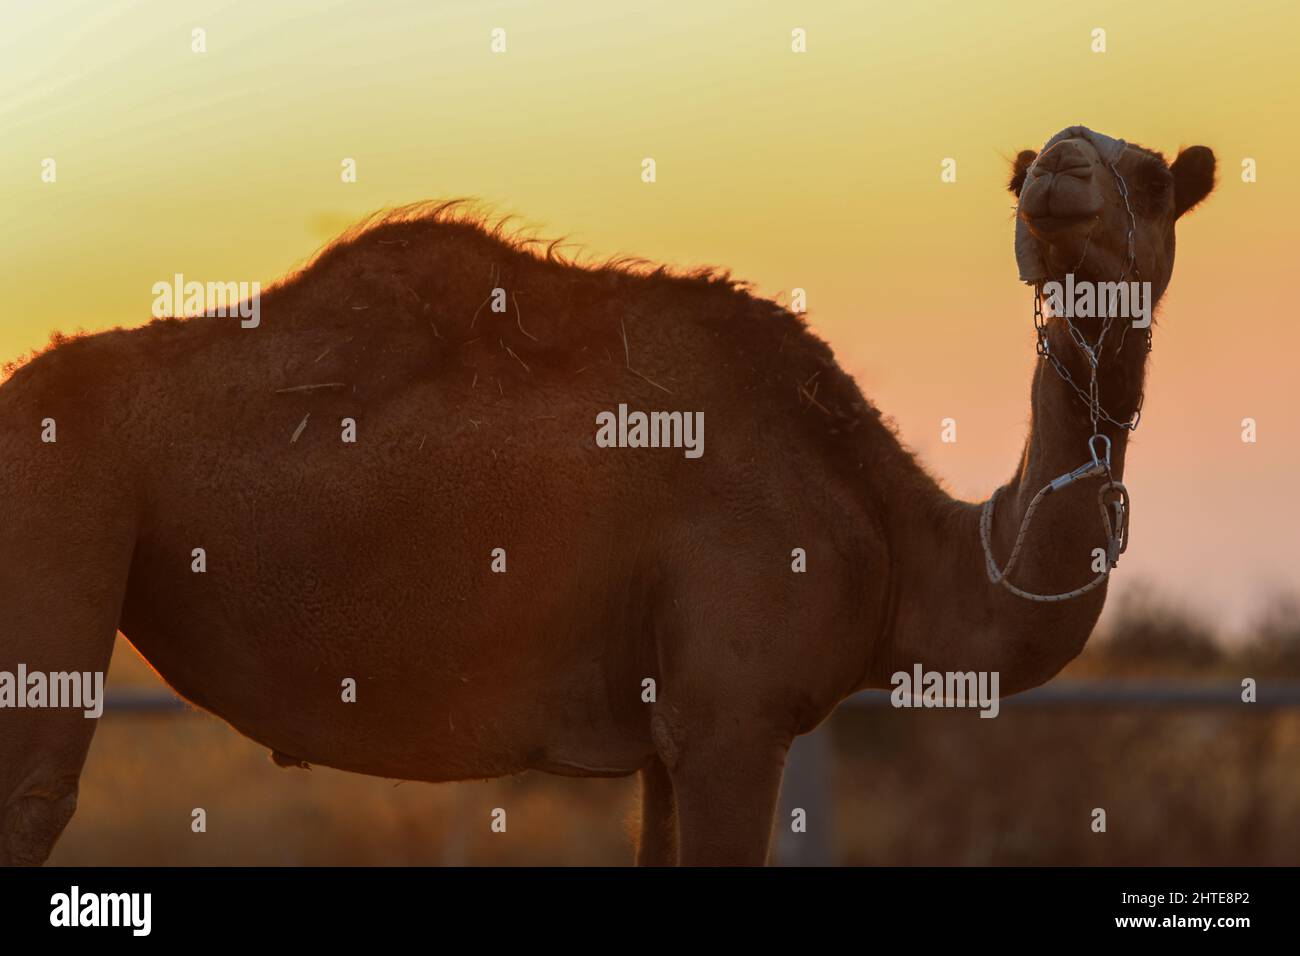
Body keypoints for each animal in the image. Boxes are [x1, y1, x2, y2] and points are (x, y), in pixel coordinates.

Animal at [0, 127, 1215, 866]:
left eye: (1155, 178)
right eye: (1027, 170)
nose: (1059, 167)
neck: (899, 533)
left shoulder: (672, 730)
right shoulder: (735, 714)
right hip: (63, 507)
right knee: (38, 784)